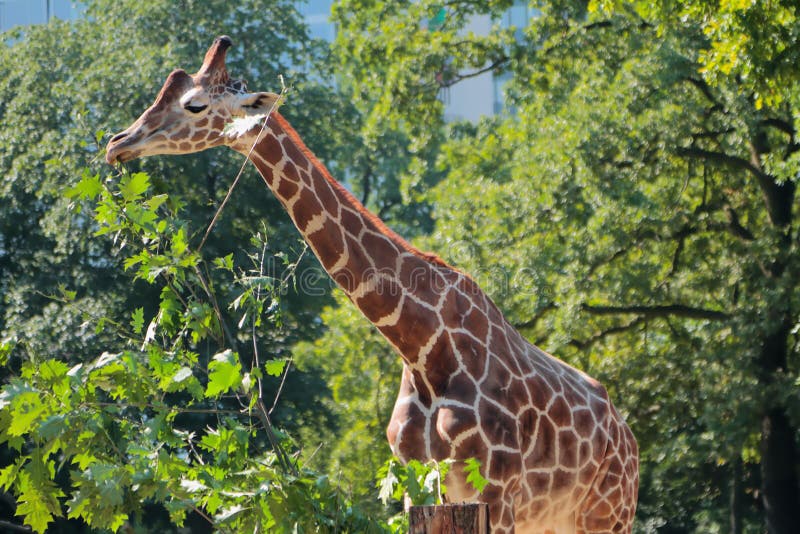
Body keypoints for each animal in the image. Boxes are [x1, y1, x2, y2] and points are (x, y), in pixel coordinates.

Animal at [105, 36, 638, 533]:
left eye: (194, 104)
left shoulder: (496, 490)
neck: (424, 348)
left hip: (605, 514)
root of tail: (627, 439)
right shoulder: (414, 483)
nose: (117, 142)